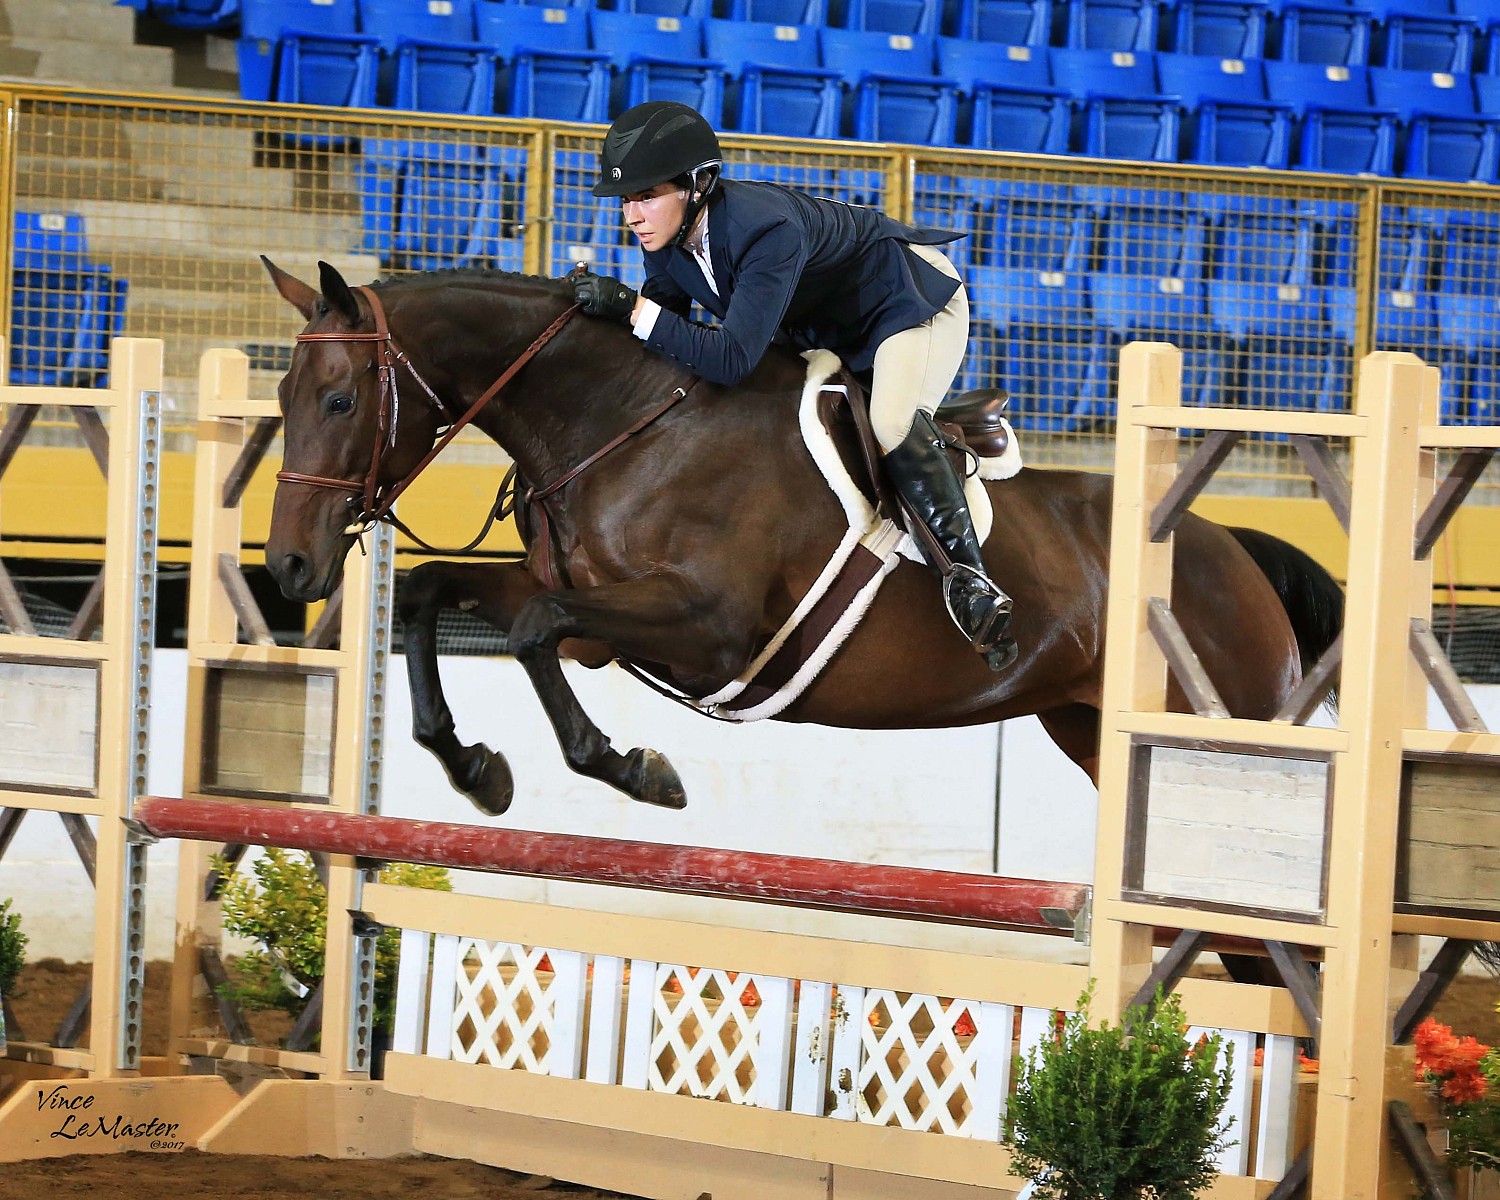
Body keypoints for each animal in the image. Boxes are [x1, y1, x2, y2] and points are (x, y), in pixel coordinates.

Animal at [261, 259, 1344, 822]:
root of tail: (1232, 548)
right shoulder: (602, 627)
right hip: (1087, 729)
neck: (623, 418)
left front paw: (634, 770)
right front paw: (472, 767)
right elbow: (440, 596)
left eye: (340, 400)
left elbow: (530, 631)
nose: (290, 568)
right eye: (279, 395)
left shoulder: (711, 632)